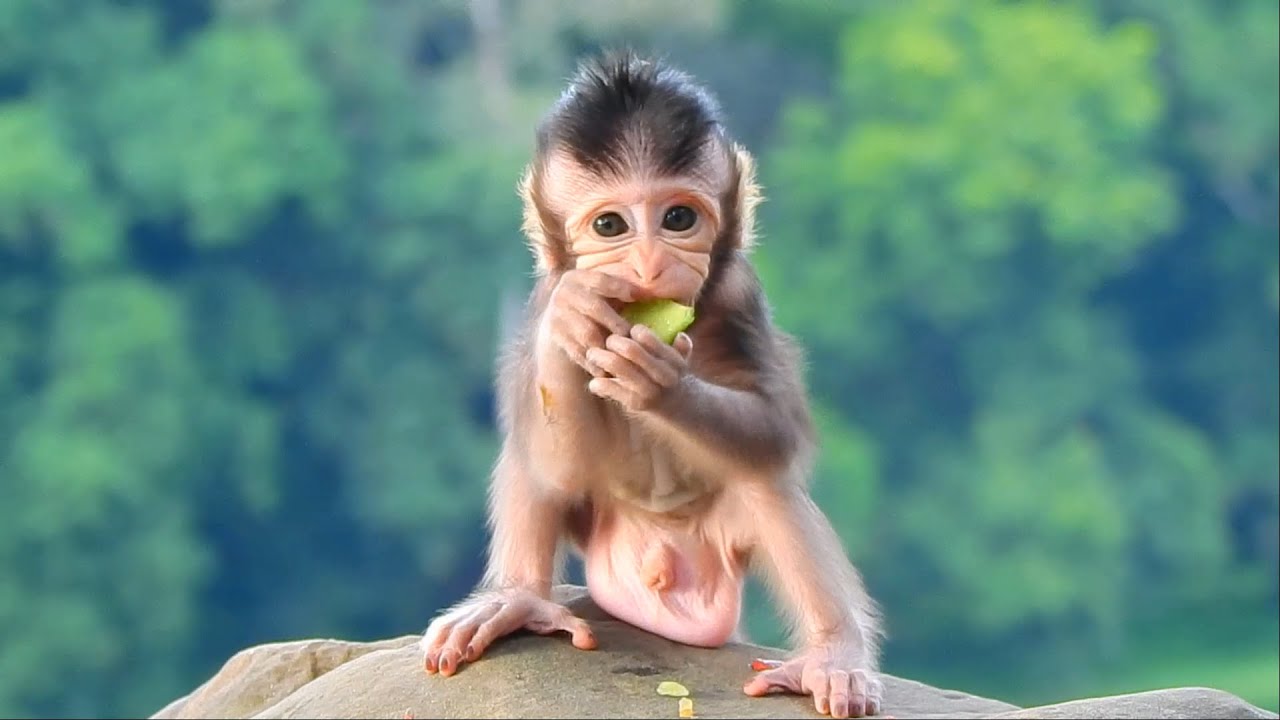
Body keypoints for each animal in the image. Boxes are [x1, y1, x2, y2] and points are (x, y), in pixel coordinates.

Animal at [420, 51, 885, 719]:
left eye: (678, 219)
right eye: (610, 225)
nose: (649, 265)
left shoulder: (740, 293)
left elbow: (777, 431)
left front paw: (663, 388)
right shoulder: (545, 295)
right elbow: (552, 462)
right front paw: (577, 326)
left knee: (764, 480)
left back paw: (832, 656)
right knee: (531, 458)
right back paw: (518, 599)